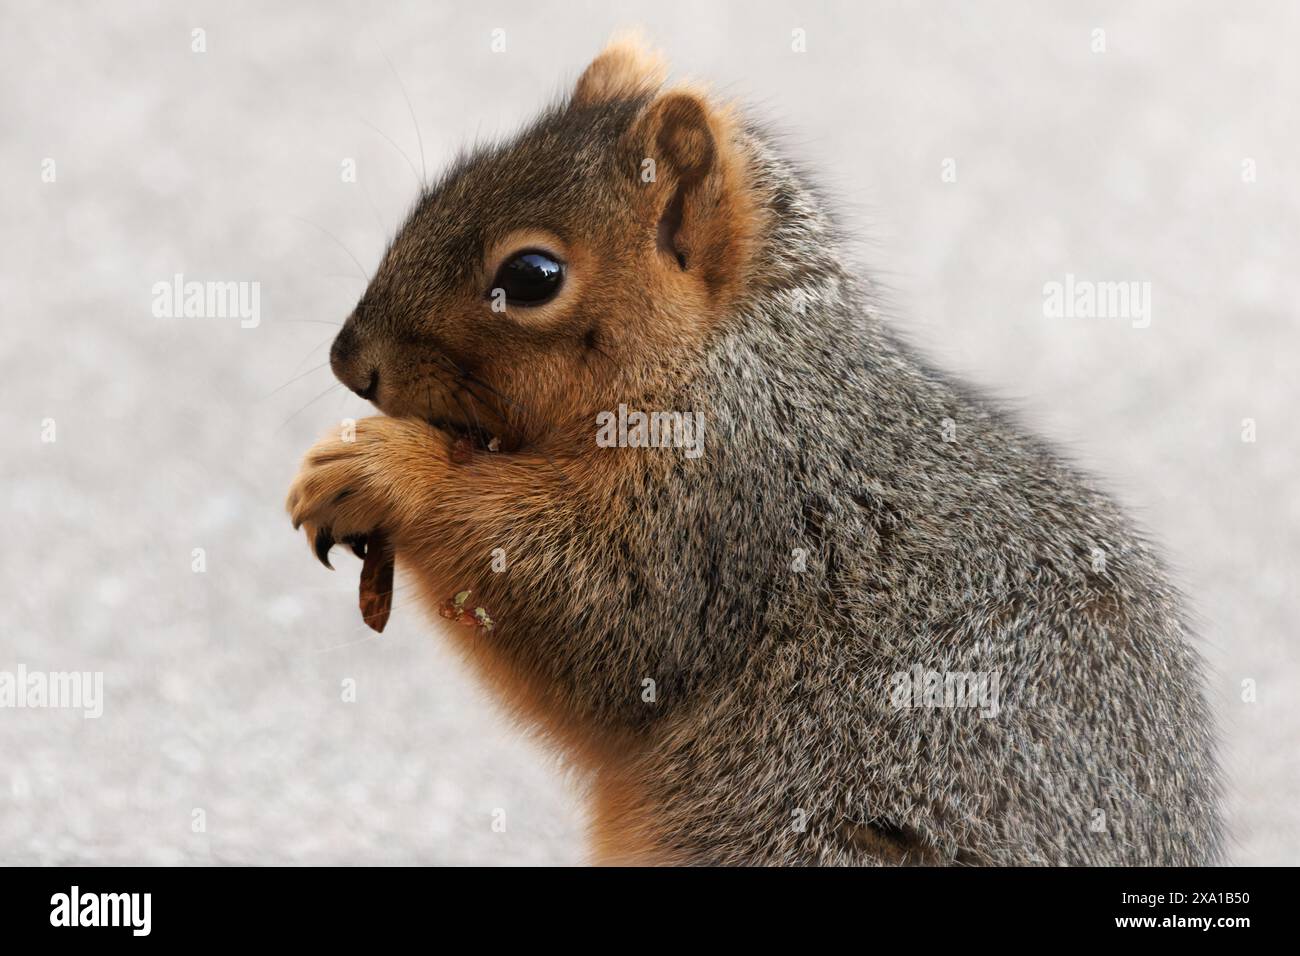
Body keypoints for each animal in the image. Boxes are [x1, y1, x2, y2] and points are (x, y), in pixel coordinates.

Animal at [286, 36, 1223, 865]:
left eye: (531, 276)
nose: (348, 361)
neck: (725, 360)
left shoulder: (731, 502)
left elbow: (605, 618)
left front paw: (381, 470)